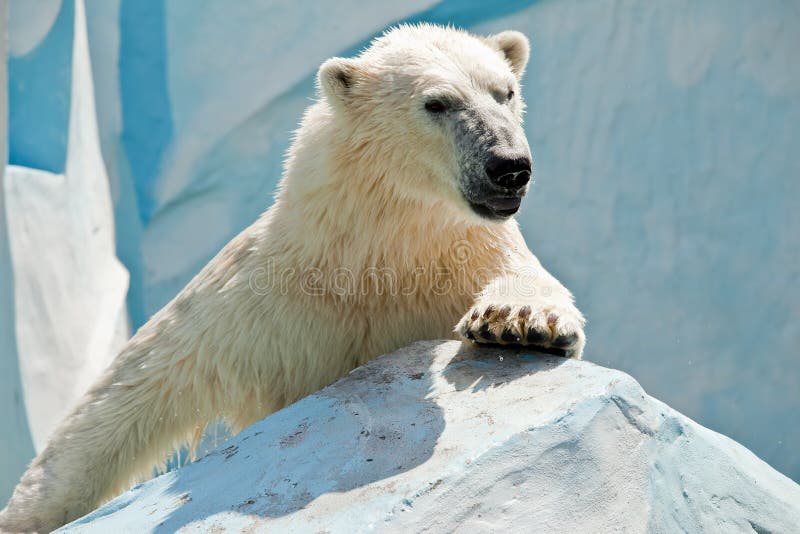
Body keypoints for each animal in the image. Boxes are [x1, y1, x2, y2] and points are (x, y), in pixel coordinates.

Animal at [0, 23, 585, 532]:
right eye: (437, 103)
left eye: (505, 91)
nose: (509, 166)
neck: (378, 257)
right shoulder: (258, 298)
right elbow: (138, 385)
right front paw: (30, 514)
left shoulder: (469, 254)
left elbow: (523, 279)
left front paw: (517, 321)